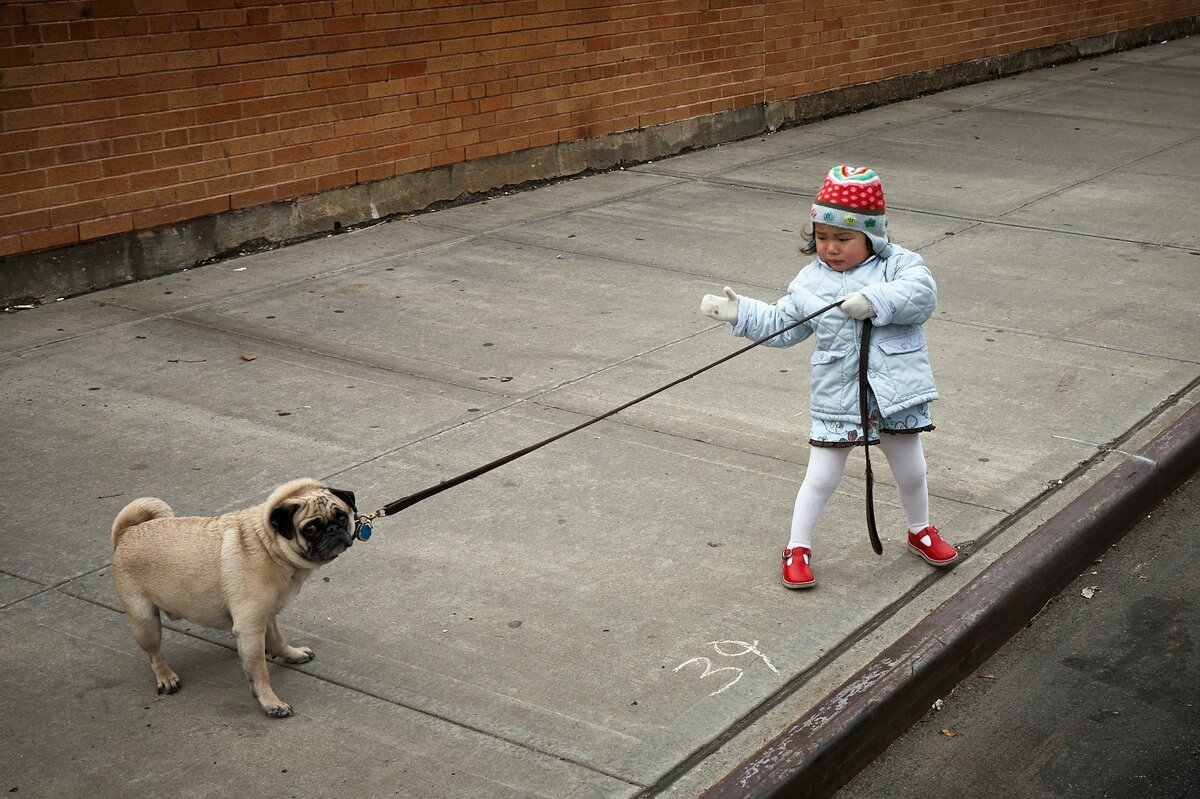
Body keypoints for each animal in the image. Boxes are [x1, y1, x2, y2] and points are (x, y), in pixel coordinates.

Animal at [111, 472, 355, 715]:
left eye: (342, 517)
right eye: (310, 529)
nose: (333, 529)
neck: (268, 545)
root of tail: (125, 533)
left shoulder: (266, 616)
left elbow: (278, 640)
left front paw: (292, 654)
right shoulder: (250, 628)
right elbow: (259, 672)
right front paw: (270, 702)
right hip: (145, 622)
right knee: (154, 653)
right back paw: (166, 676)